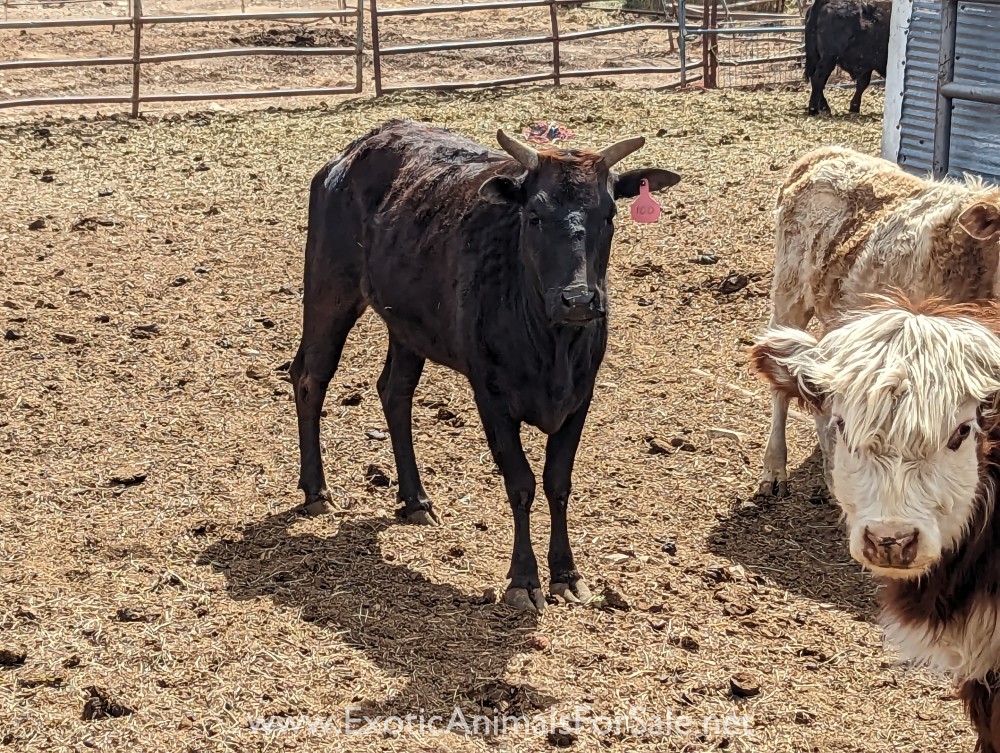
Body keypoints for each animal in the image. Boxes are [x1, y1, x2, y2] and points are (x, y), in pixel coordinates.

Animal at [289, 120, 680, 612]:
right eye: (534, 215)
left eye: (608, 215)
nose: (577, 300)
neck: (552, 347)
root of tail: (354, 150)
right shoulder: (490, 395)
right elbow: (521, 482)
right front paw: (524, 579)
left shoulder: (580, 396)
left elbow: (558, 482)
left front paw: (566, 574)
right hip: (330, 290)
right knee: (310, 378)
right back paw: (316, 491)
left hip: (408, 324)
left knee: (394, 392)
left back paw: (415, 499)